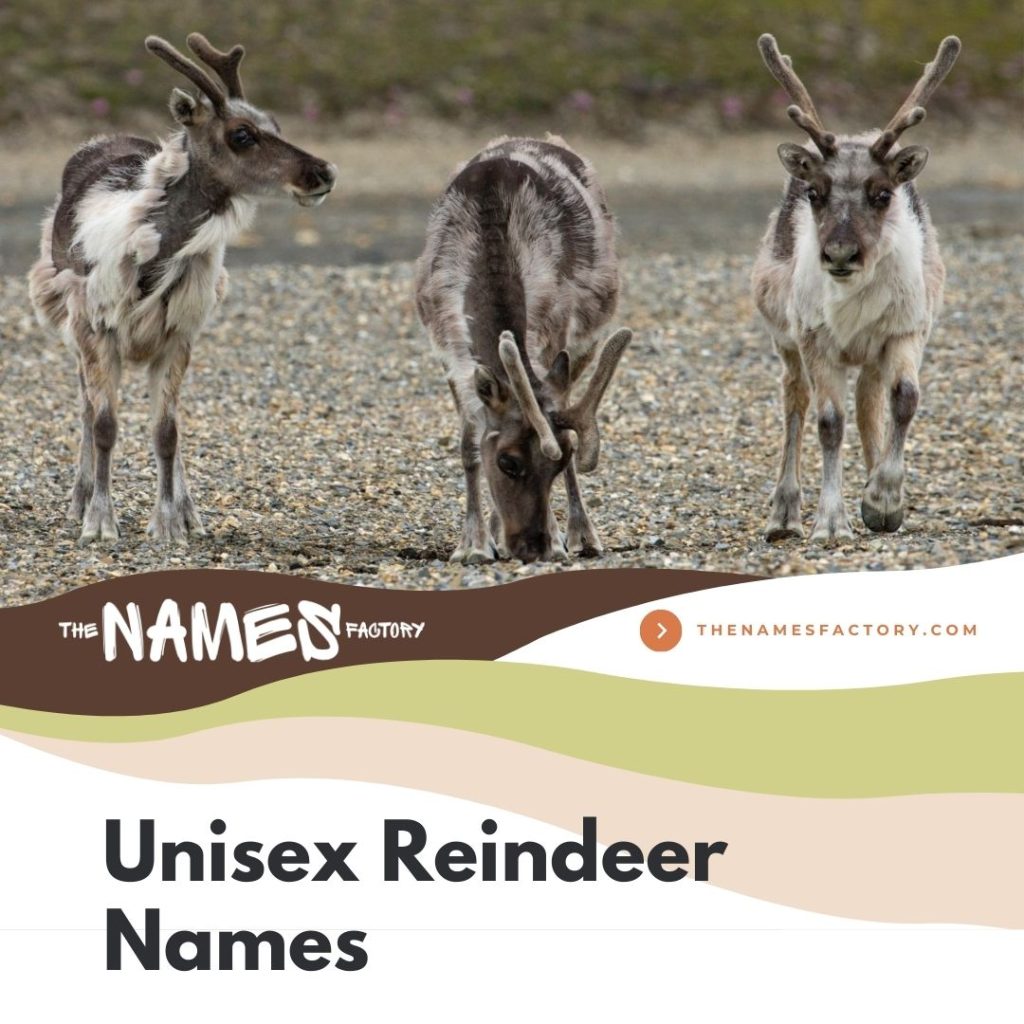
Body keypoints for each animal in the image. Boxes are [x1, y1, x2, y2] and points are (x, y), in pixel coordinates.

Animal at [28, 33, 336, 544]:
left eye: (274, 123)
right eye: (242, 134)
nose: (324, 172)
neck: (155, 254)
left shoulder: (178, 334)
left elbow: (167, 432)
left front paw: (170, 523)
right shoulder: (95, 329)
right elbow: (104, 424)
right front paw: (99, 521)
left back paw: (189, 509)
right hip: (69, 324)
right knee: (86, 410)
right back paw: (79, 498)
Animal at [414, 135, 632, 564]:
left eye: (556, 466)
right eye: (507, 462)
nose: (531, 546)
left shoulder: (556, 330)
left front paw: (557, 538)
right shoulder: (446, 344)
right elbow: (469, 444)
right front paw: (474, 544)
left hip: (586, 340)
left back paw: (583, 535)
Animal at [752, 34, 961, 544]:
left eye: (883, 193)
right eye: (815, 193)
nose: (841, 254)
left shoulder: (907, 329)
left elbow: (904, 398)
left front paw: (883, 502)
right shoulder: (815, 339)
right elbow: (830, 422)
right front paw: (831, 522)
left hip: (870, 355)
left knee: (869, 403)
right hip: (785, 338)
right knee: (795, 399)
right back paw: (784, 514)